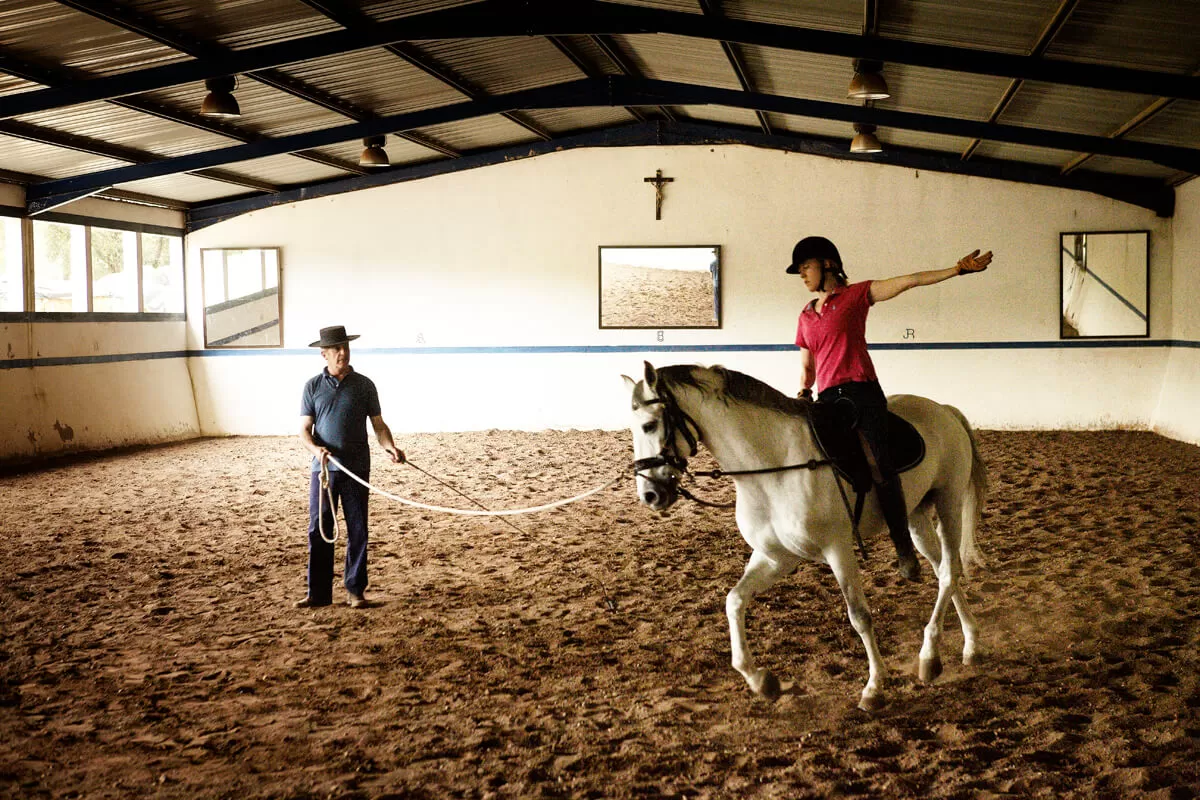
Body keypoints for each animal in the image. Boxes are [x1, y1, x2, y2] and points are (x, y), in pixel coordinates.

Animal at [624, 364, 988, 714]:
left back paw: (931, 654)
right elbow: (734, 600)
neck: (774, 469)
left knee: (949, 572)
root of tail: (942, 409)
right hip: (915, 517)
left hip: (948, 501)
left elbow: (859, 616)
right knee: (945, 571)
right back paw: (969, 645)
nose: (650, 495)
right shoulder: (776, 556)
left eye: (649, 426)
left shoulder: (837, 549)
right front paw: (761, 681)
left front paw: (874, 688)